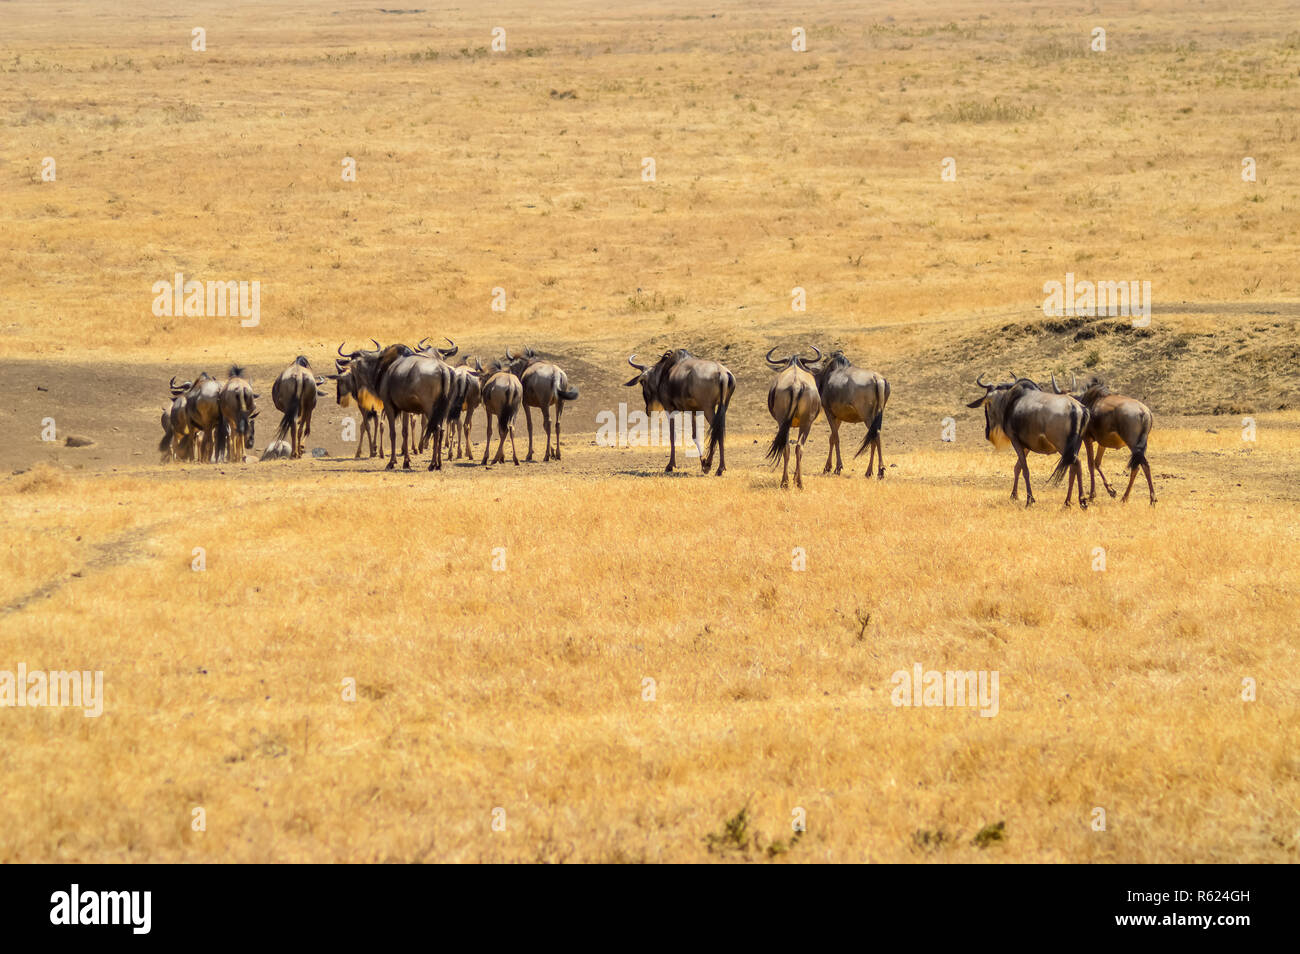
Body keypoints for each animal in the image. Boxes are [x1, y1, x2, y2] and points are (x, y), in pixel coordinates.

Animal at [765, 348, 823, 490]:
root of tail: (796, 385)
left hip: (786, 423)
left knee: (790, 447)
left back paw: (787, 482)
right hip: (806, 424)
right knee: (798, 447)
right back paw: (796, 482)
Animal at [814, 350, 891, 478]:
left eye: (824, 361)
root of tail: (878, 379)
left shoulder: (829, 413)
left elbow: (836, 437)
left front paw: (837, 467)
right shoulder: (838, 417)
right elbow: (831, 438)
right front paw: (828, 467)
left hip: (867, 417)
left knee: (875, 436)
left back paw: (879, 470)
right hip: (876, 416)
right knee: (874, 437)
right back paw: (871, 471)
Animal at [966, 374, 1091, 509]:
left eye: (987, 405)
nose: (987, 431)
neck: (1011, 401)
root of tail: (1076, 407)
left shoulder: (1015, 440)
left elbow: (1025, 470)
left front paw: (1029, 500)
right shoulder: (1026, 447)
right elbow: (1017, 467)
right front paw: (1013, 496)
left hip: (1062, 446)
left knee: (1076, 463)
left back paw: (1081, 501)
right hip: (1074, 446)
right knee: (1073, 467)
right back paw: (1068, 502)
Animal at [1052, 373, 1157, 506]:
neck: (1086, 401)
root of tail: (1145, 412)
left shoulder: (1087, 439)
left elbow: (1090, 464)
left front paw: (1092, 495)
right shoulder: (1103, 443)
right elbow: (1097, 463)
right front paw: (1111, 491)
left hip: (1133, 444)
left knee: (1141, 465)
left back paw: (1144, 499)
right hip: (1140, 446)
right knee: (1139, 466)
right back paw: (1132, 498)